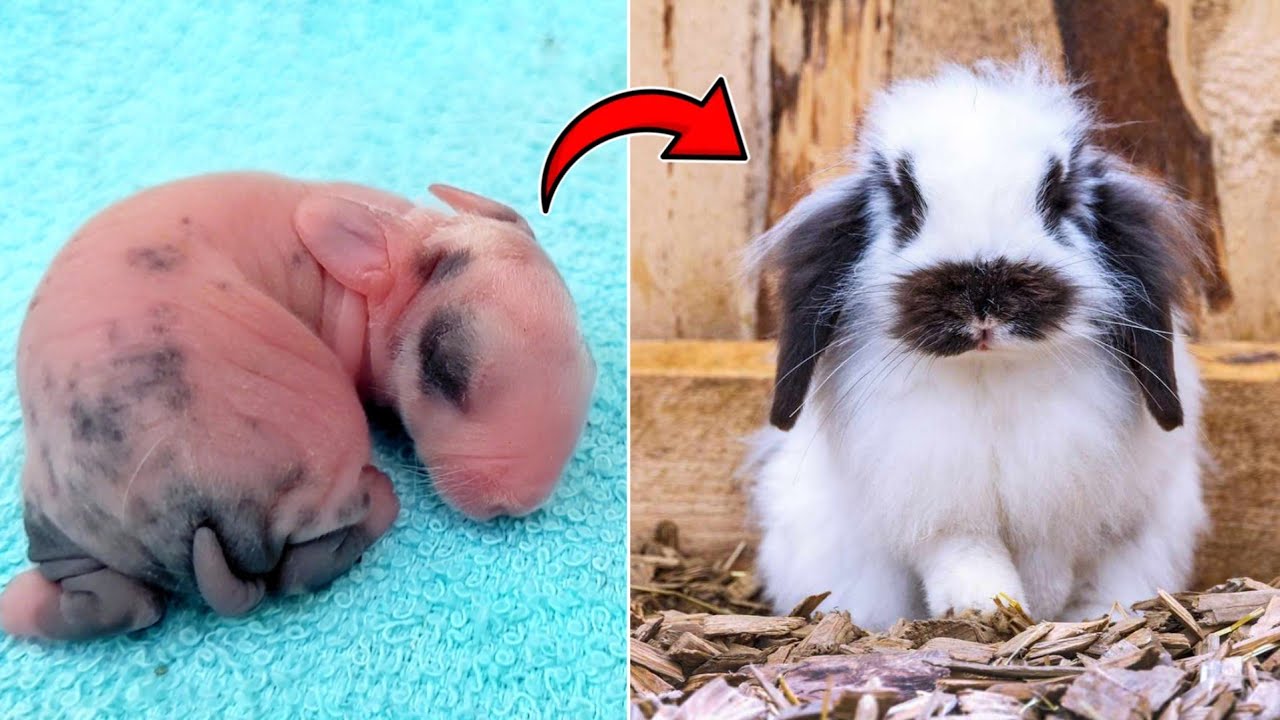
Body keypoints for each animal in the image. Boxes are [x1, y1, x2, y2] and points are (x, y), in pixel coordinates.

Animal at [746, 57, 1209, 630]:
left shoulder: (1060, 499)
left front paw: (1042, 609)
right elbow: (962, 551)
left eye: (1057, 197)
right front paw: (987, 606)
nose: (983, 293)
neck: (987, 372)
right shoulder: (934, 499)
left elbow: (1051, 558)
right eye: (905, 202)